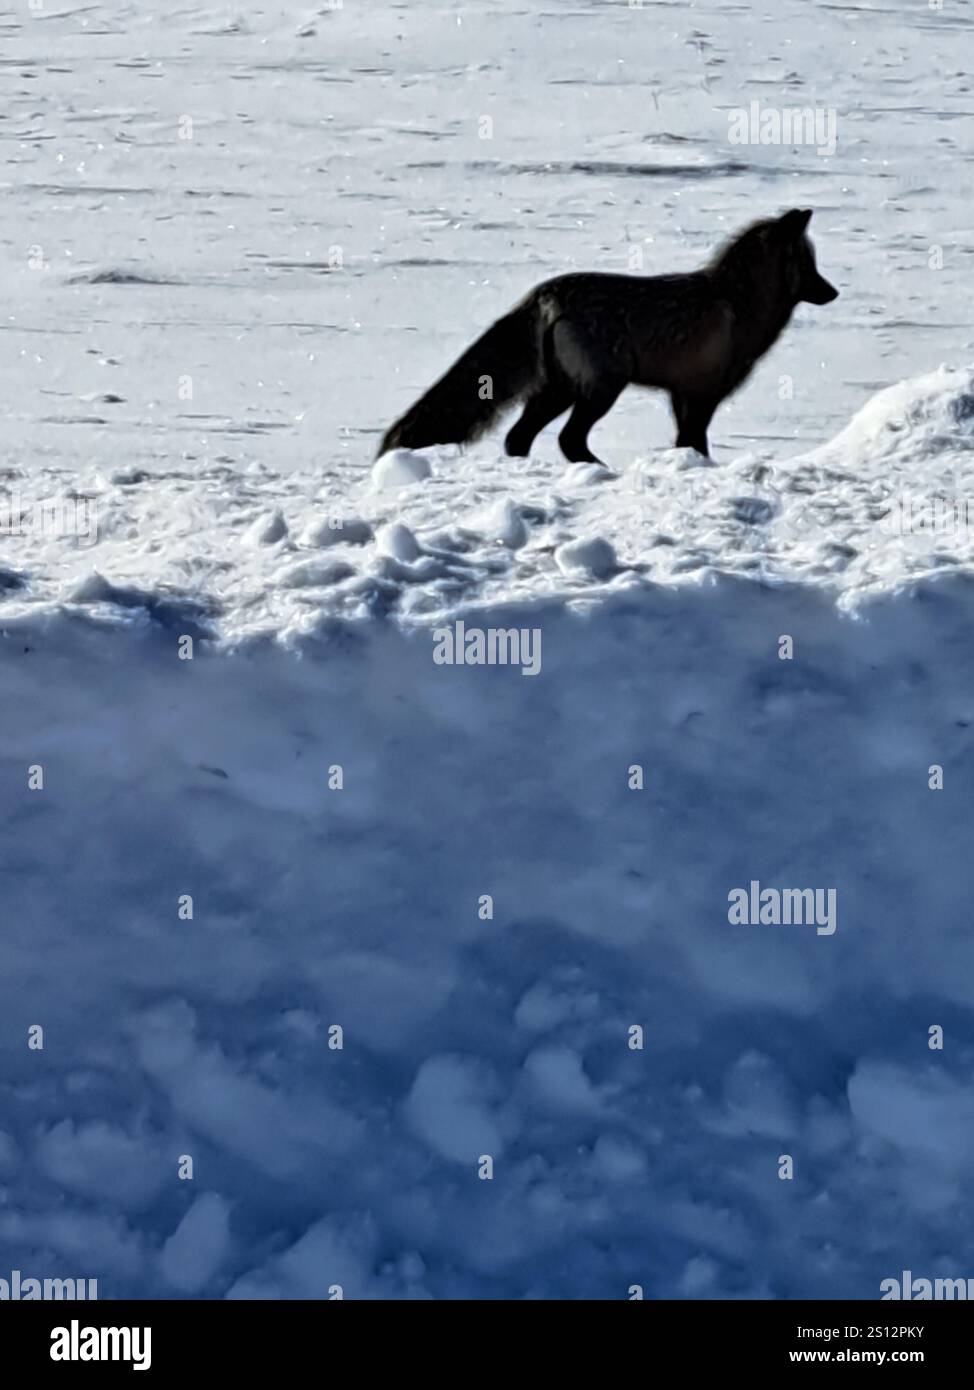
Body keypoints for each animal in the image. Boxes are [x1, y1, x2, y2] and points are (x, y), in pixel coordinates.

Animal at [377, 209, 838, 464]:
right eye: (811, 264)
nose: (833, 293)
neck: (741, 304)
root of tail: (546, 293)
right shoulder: (702, 393)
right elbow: (695, 443)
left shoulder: (680, 394)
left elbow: (685, 444)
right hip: (600, 389)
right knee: (567, 439)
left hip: (558, 390)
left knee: (517, 438)